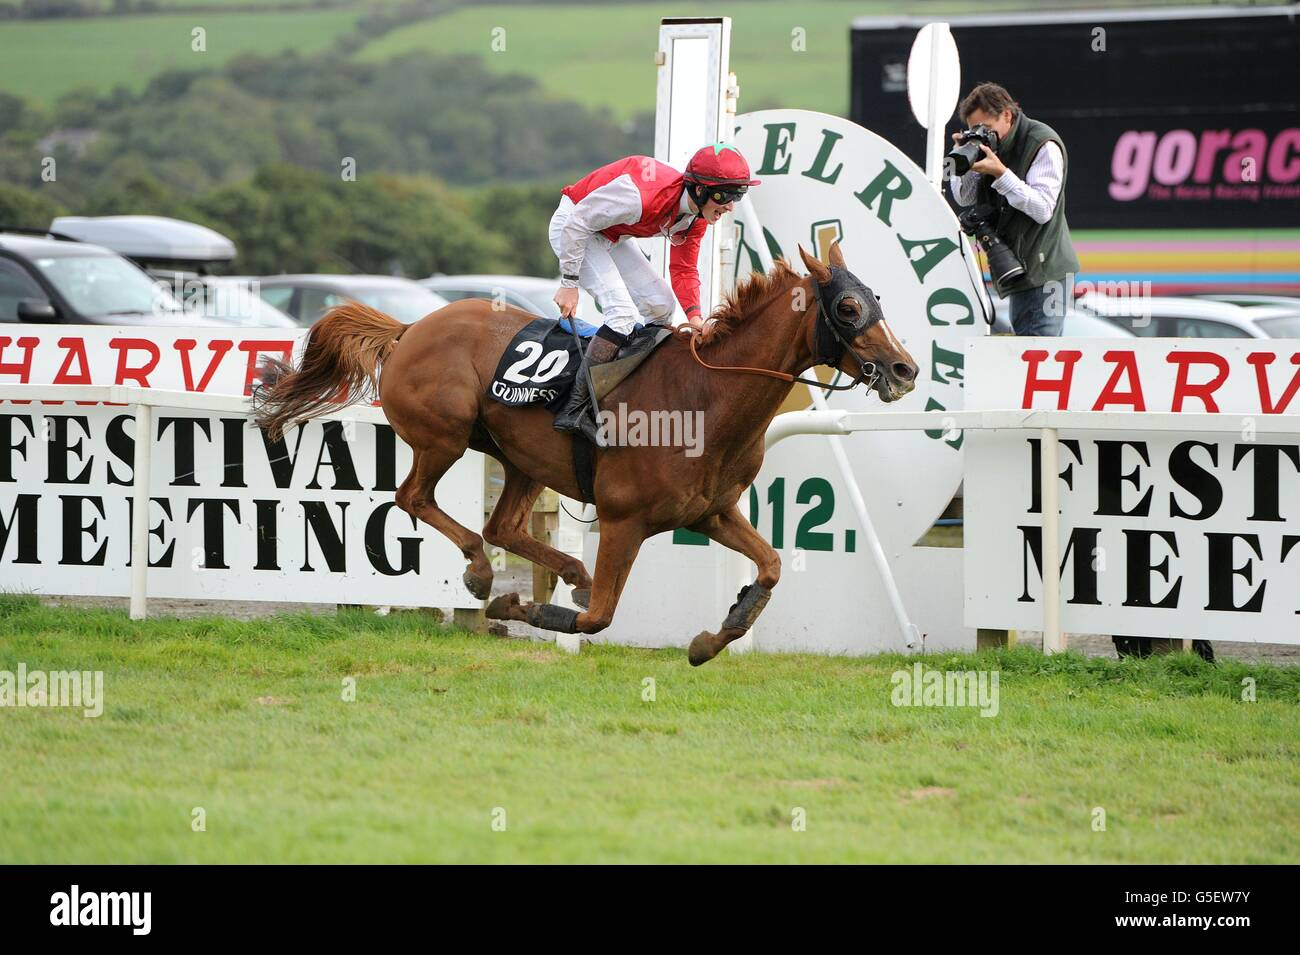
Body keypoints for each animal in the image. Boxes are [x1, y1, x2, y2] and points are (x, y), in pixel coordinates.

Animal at [252, 244, 918, 665]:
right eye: (849, 307)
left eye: (877, 299)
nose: (905, 369)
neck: (705, 396)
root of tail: (408, 329)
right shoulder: (625, 520)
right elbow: (598, 618)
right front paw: (518, 604)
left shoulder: (711, 512)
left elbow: (772, 565)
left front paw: (716, 634)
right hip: (444, 435)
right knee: (417, 498)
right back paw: (483, 573)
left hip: (520, 459)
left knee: (502, 525)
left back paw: (566, 572)